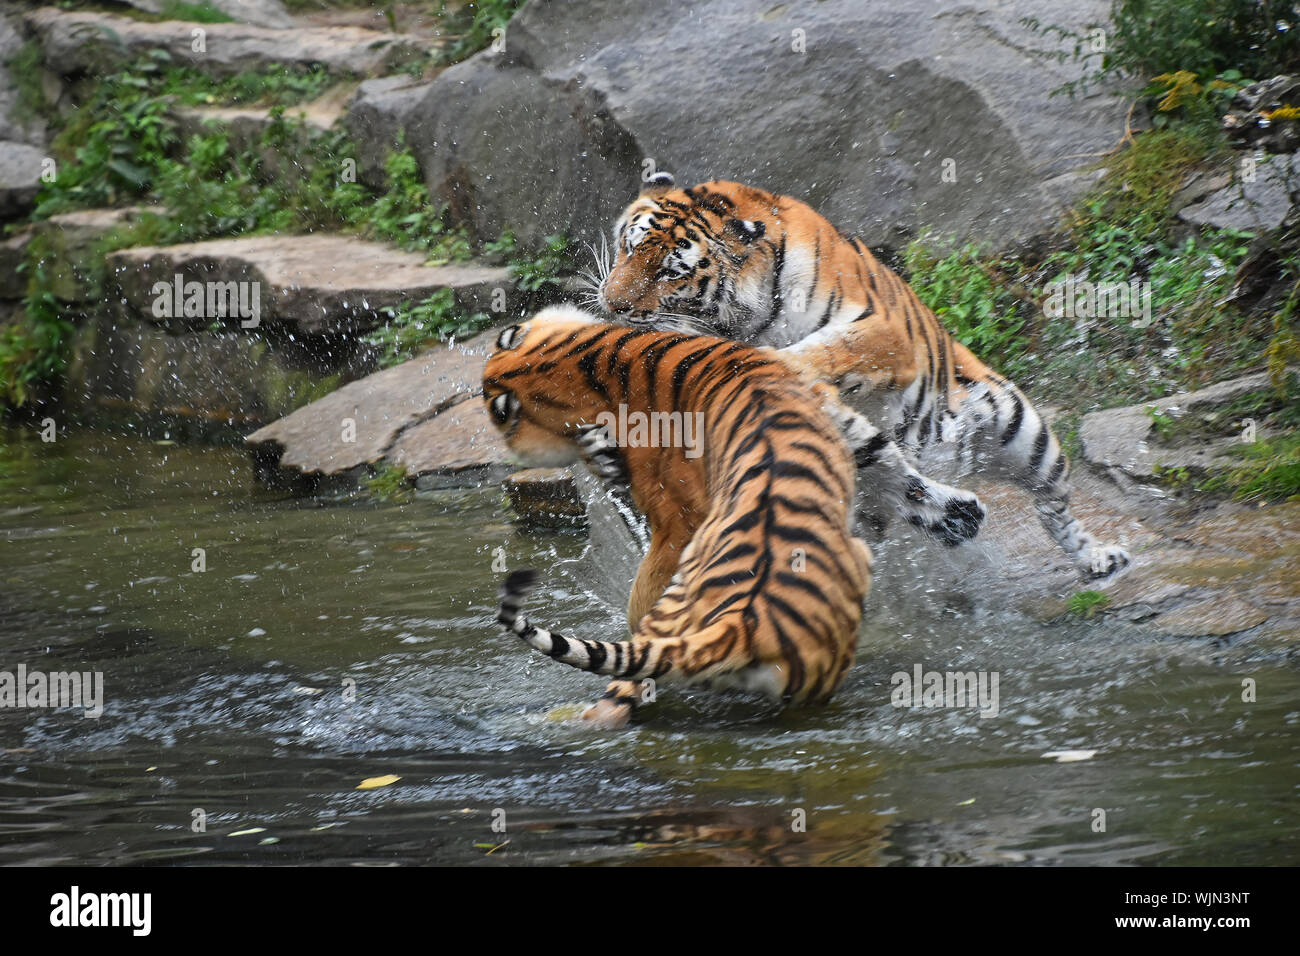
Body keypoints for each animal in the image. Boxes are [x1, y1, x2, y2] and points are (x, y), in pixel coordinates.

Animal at [590, 174, 1131, 579]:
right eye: (628, 247)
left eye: (670, 271)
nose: (613, 305)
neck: (745, 315)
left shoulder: (881, 330)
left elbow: (828, 348)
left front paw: (781, 363)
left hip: (1027, 437)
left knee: (1054, 507)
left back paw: (1099, 557)